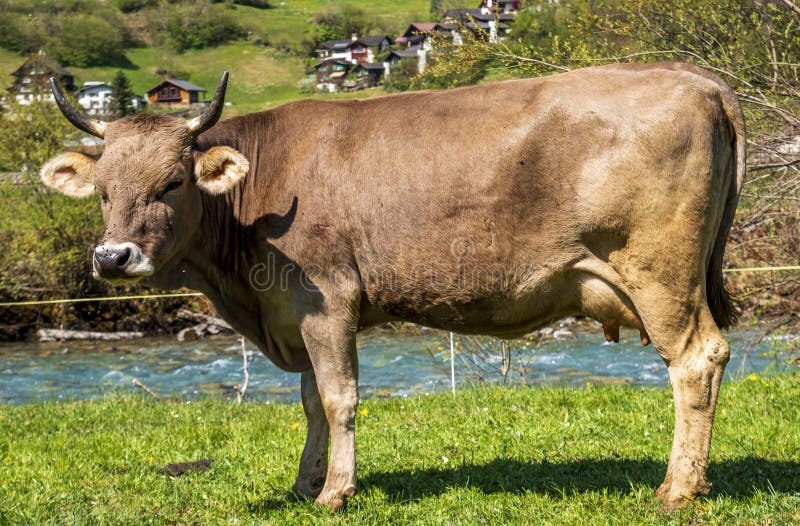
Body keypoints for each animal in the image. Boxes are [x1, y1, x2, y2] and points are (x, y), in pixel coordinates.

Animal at [41, 62, 745, 511]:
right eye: (103, 191)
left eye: (171, 184)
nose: (113, 256)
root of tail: (692, 75)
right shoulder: (295, 312)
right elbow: (310, 402)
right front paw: (305, 484)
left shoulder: (326, 300)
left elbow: (338, 398)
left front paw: (335, 493)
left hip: (661, 276)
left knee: (697, 360)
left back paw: (678, 488)